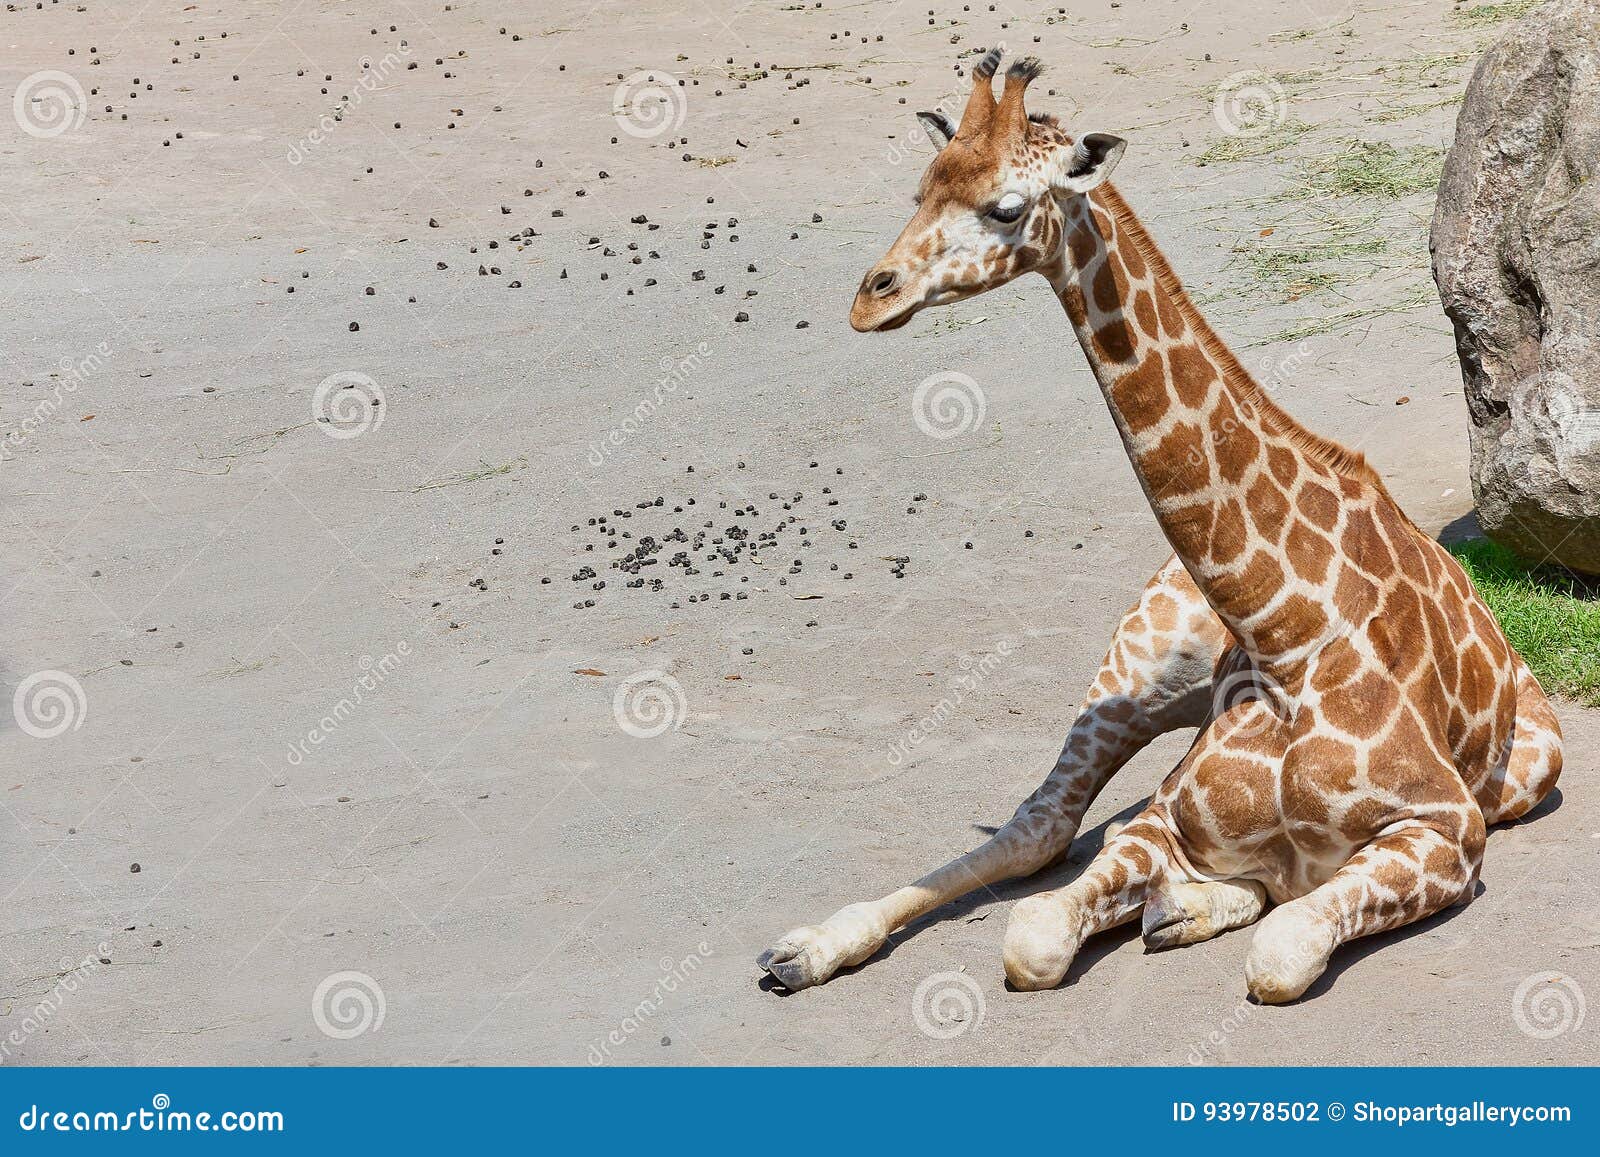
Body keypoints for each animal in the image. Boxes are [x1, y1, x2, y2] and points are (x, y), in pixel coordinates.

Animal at [758, 50, 1564, 1002]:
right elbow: (1034, 933)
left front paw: (1202, 904)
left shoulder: (1445, 829)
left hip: (1529, 770)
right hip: (1133, 671)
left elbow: (1281, 950)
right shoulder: (1163, 820)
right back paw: (802, 948)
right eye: (920, 187)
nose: (869, 299)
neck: (1282, 630)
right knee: (1041, 822)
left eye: (1004, 206)